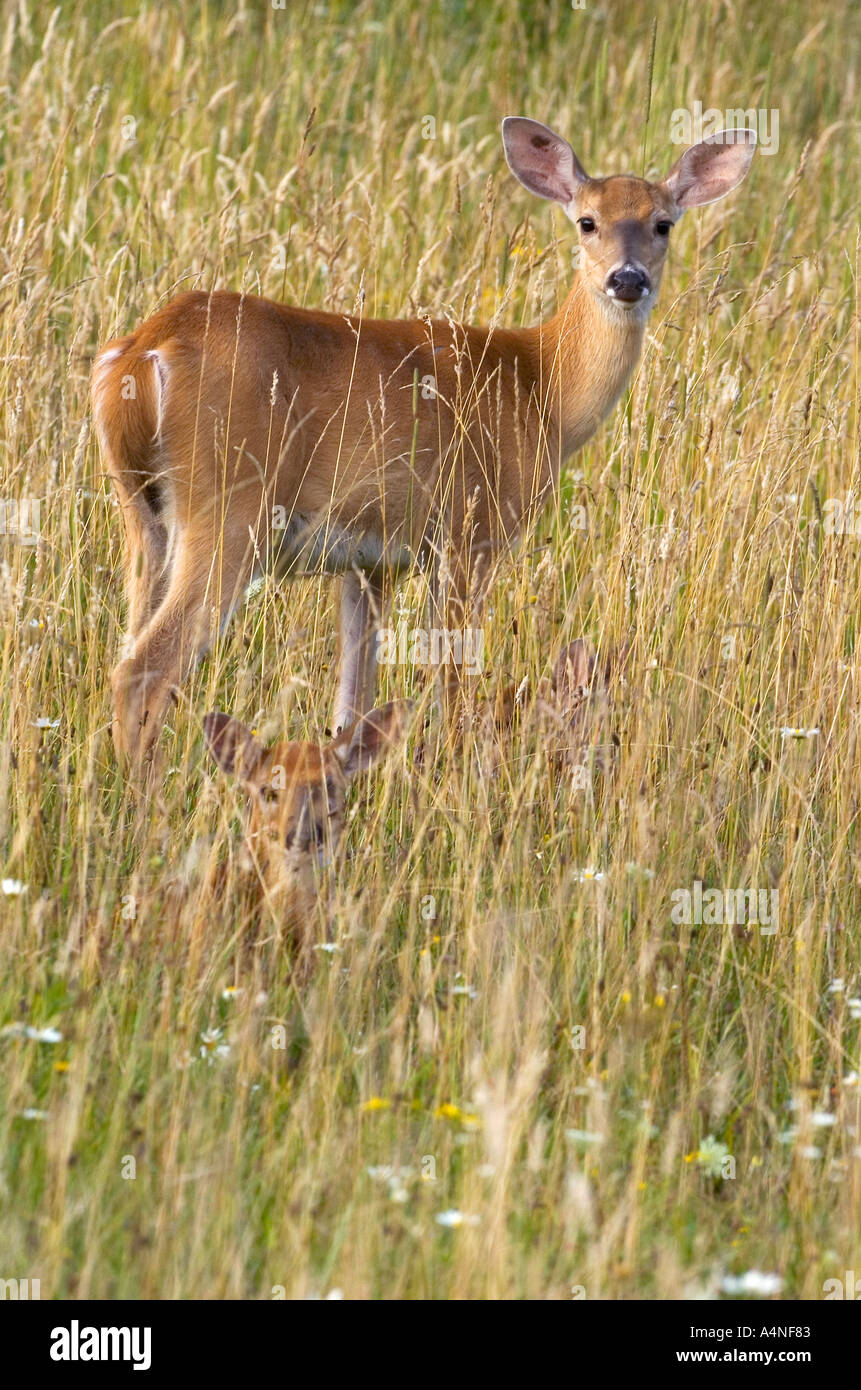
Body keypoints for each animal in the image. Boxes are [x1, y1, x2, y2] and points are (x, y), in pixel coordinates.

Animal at [91, 118, 755, 763]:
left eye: (663, 223)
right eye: (586, 221)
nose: (627, 279)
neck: (541, 386)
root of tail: (143, 351)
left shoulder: (369, 562)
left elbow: (352, 708)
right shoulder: (470, 532)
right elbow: (452, 687)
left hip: (142, 516)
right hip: (231, 503)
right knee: (143, 669)